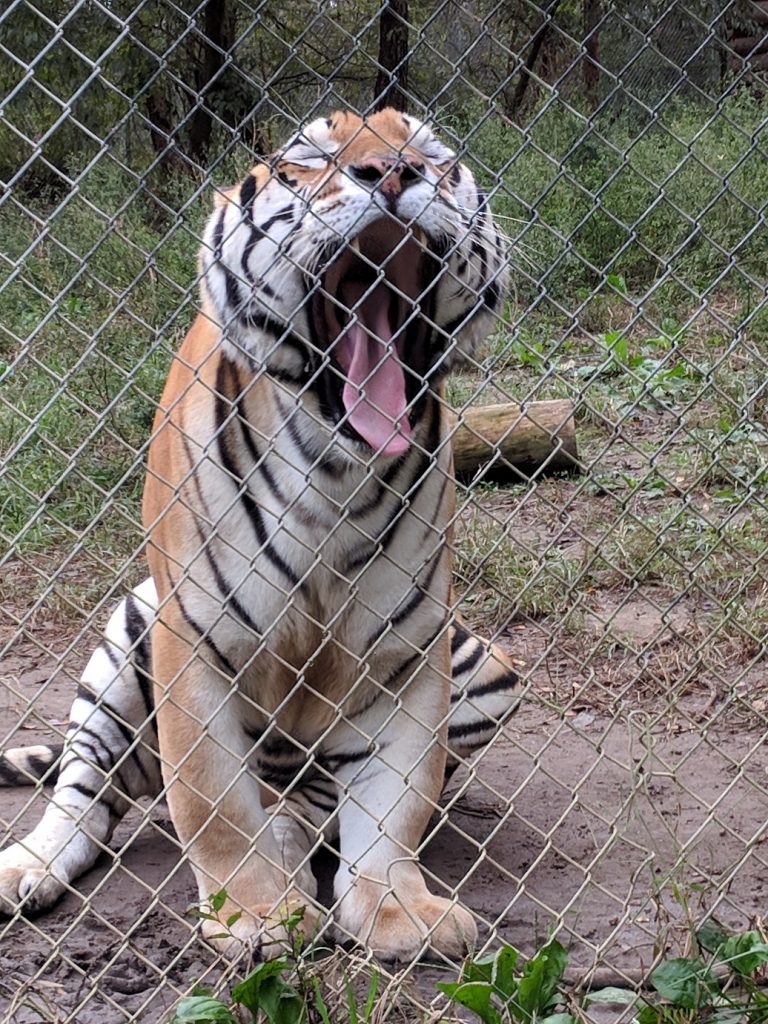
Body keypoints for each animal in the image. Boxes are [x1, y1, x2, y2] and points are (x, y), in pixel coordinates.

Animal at [0, 108, 518, 962]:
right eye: (306, 160)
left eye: (434, 155)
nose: (394, 172)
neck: (336, 468)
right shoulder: (190, 637)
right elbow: (210, 799)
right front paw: (255, 913)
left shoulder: (411, 652)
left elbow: (396, 803)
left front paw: (397, 909)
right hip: (127, 634)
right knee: (86, 794)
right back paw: (30, 867)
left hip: (486, 668)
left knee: (315, 800)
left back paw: (290, 830)